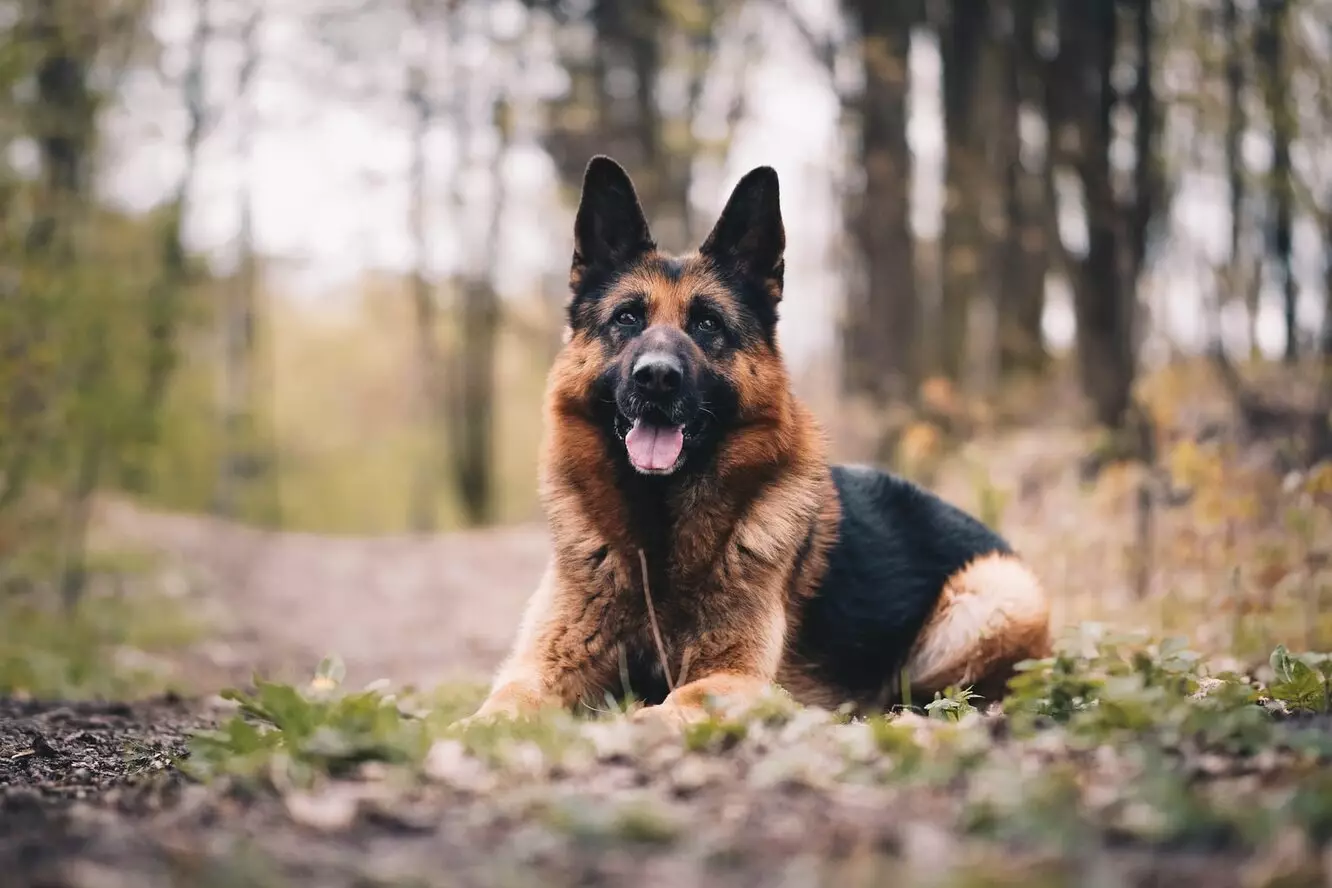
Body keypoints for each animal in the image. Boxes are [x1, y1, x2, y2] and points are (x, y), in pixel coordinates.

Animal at [463, 157, 1054, 729]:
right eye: (627, 318)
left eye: (707, 324)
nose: (656, 378)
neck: (657, 535)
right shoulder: (541, 666)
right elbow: (501, 705)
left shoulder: (734, 675)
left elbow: (675, 703)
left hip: (987, 596)